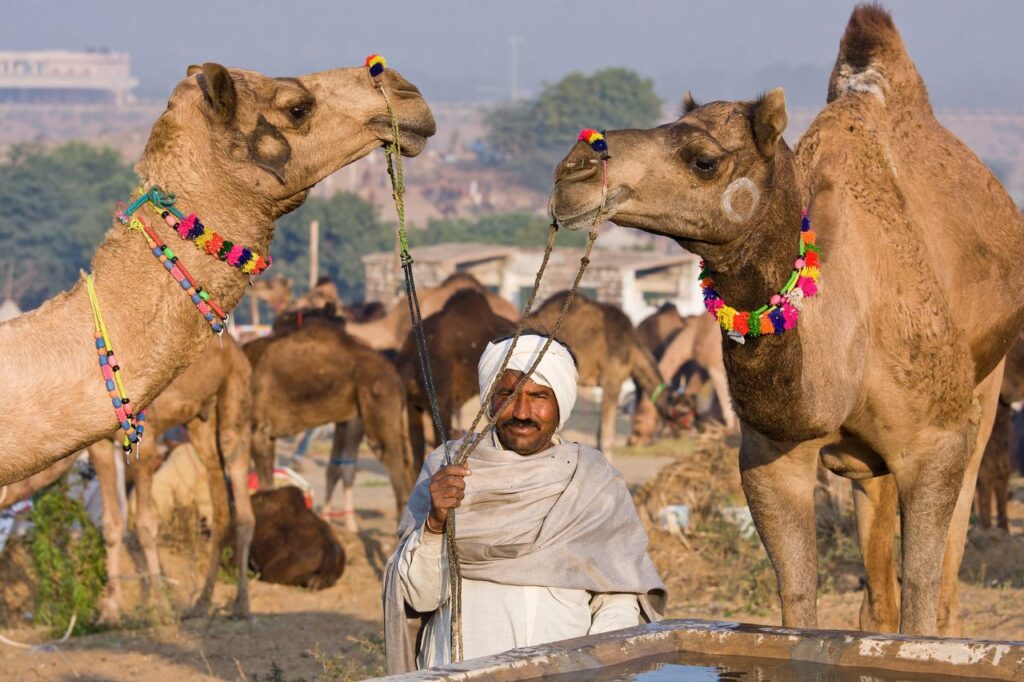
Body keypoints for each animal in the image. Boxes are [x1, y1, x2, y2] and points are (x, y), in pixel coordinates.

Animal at [548, 6, 1024, 635]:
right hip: (872, 462)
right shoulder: (771, 456)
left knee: (951, 550)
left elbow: (922, 590)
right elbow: (796, 594)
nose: (573, 170)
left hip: (984, 384)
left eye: (704, 160)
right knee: (877, 556)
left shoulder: (934, 441)